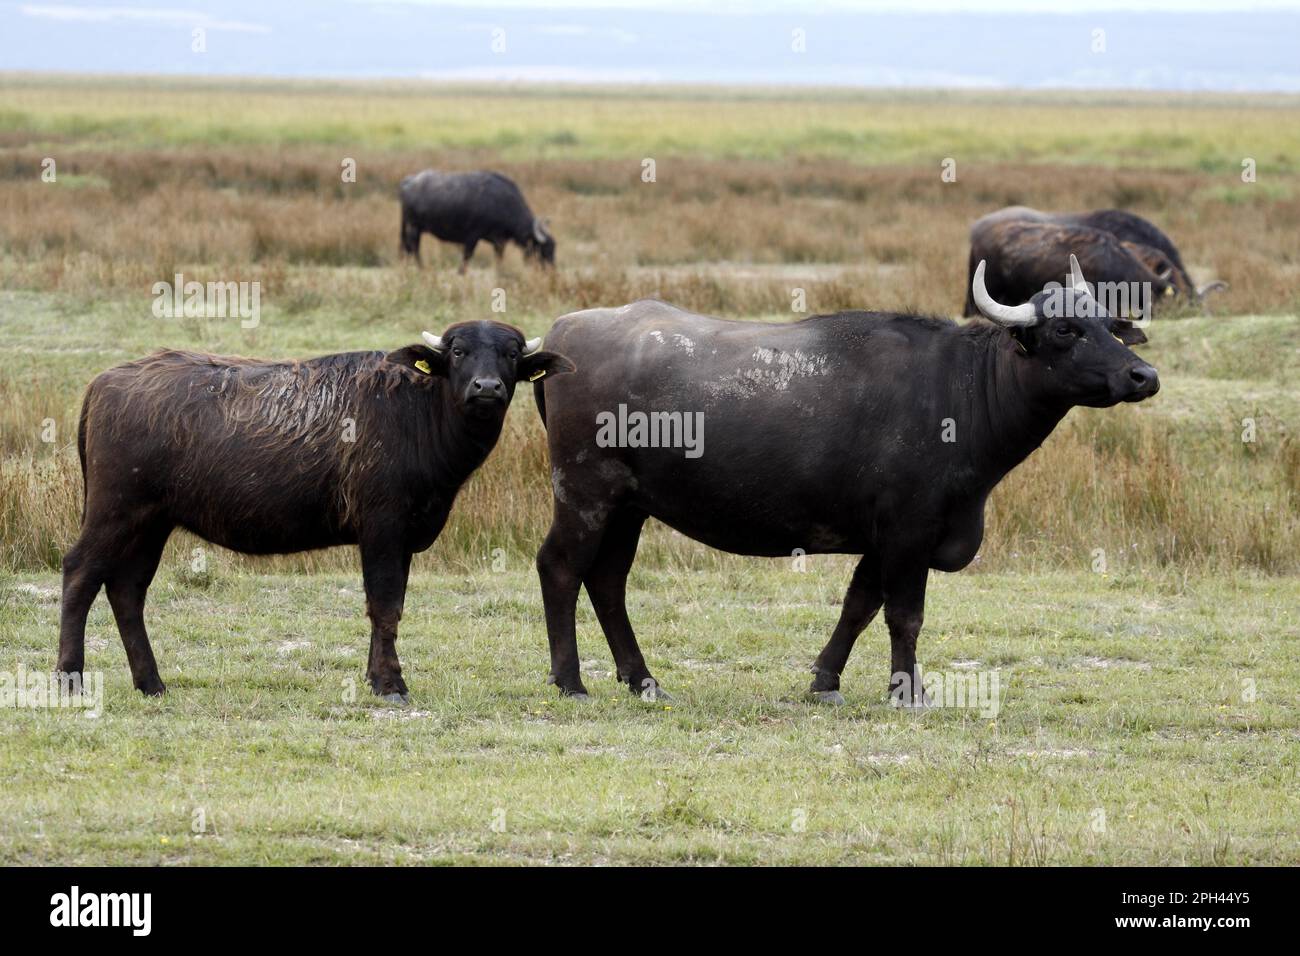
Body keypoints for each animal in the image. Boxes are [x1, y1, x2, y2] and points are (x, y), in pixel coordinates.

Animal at [57, 322, 574, 700]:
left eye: (511, 354)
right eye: (460, 351)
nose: (487, 388)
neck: (418, 410)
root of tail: (106, 381)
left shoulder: (402, 537)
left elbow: (387, 606)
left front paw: (374, 676)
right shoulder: (382, 527)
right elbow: (385, 604)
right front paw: (391, 683)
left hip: (152, 522)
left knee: (127, 591)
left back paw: (151, 683)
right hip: (114, 511)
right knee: (79, 574)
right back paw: (70, 678)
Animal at [399, 170, 556, 271]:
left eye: (554, 248)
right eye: (545, 249)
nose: (552, 271)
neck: (502, 202)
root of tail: (409, 180)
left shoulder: (499, 241)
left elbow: (498, 258)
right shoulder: (472, 237)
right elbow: (466, 257)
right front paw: (461, 272)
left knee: (409, 248)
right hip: (413, 227)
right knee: (414, 247)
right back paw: (421, 267)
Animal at [534, 257, 1157, 704]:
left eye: (1110, 324)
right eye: (1066, 329)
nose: (1143, 375)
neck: (960, 390)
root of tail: (560, 334)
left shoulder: (883, 540)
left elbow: (858, 605)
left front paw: (824, 681)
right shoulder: (910, 531)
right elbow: (905, 615)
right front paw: (907, 691)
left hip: (629, 507)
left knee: (608, 581)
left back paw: (643, 680)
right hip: (585, 494)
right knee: (561, 567)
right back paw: (571, 682)